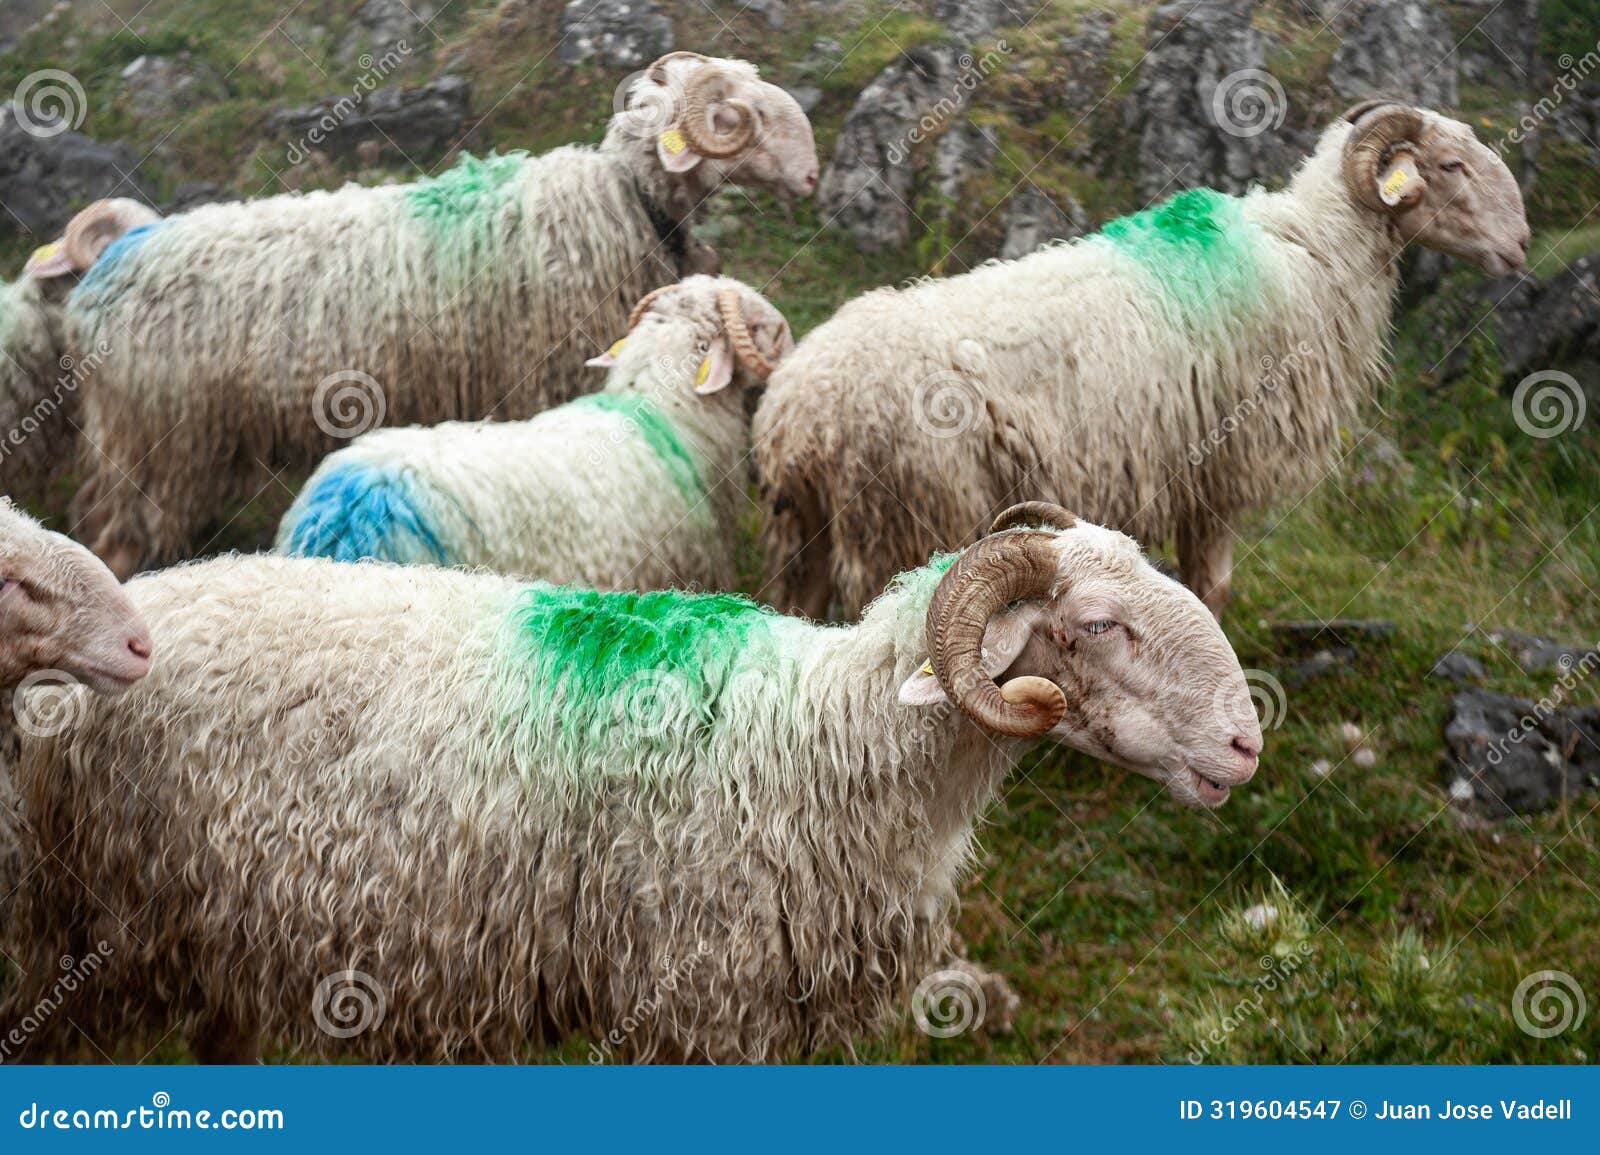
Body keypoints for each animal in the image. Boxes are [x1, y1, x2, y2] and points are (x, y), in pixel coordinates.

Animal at [1, 502, 1261, 1063]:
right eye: (1096, 625)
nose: (1248, 744)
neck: (811, 742)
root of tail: (148, 613)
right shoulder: (699, 1002)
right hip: (101, 928)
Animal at [755, 102, 1531, 620]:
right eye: (1452, 166)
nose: (1521, 245)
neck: (1314, 254)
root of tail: (798, 412)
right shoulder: (1225, 466)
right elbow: (1213, 585)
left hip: (808, 536)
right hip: (905, 520)